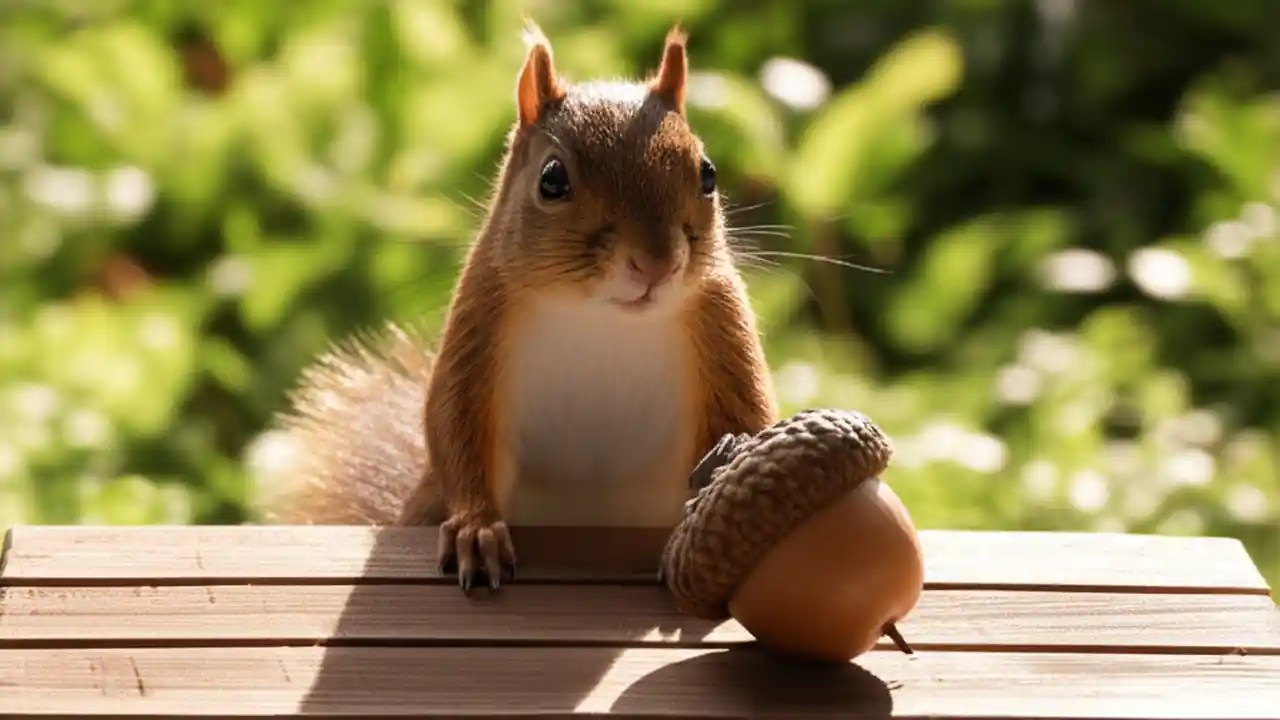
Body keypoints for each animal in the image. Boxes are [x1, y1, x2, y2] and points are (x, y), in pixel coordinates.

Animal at [256, 23, 779, 593]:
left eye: (707, 174)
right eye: (551, 180)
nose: (656, 263)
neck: (601, 321)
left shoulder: (720, 327)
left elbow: (748, 416)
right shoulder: (480, 323)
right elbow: (454, 425)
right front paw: (476, 531)